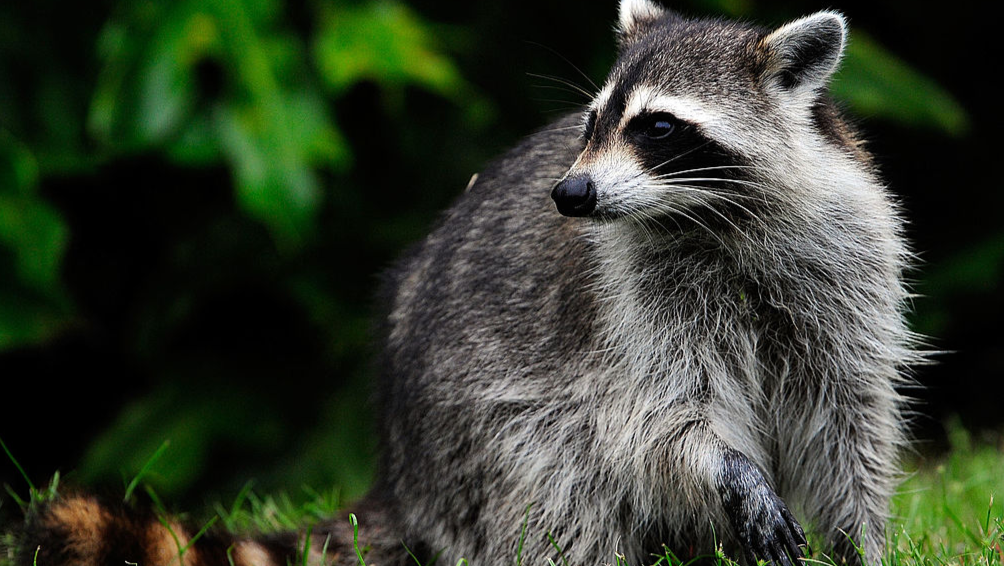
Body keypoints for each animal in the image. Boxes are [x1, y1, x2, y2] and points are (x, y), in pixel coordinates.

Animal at [10, 2, 916, 566]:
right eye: (591, 122)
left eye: (658, 127)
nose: (570, 194)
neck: (710, 216)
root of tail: (399, 469)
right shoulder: (629, 307)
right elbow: (655, 420)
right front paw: (731, 473)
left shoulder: (846, 262)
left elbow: (851, 415)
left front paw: (859, 540)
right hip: (474, 432)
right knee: (558, 489)